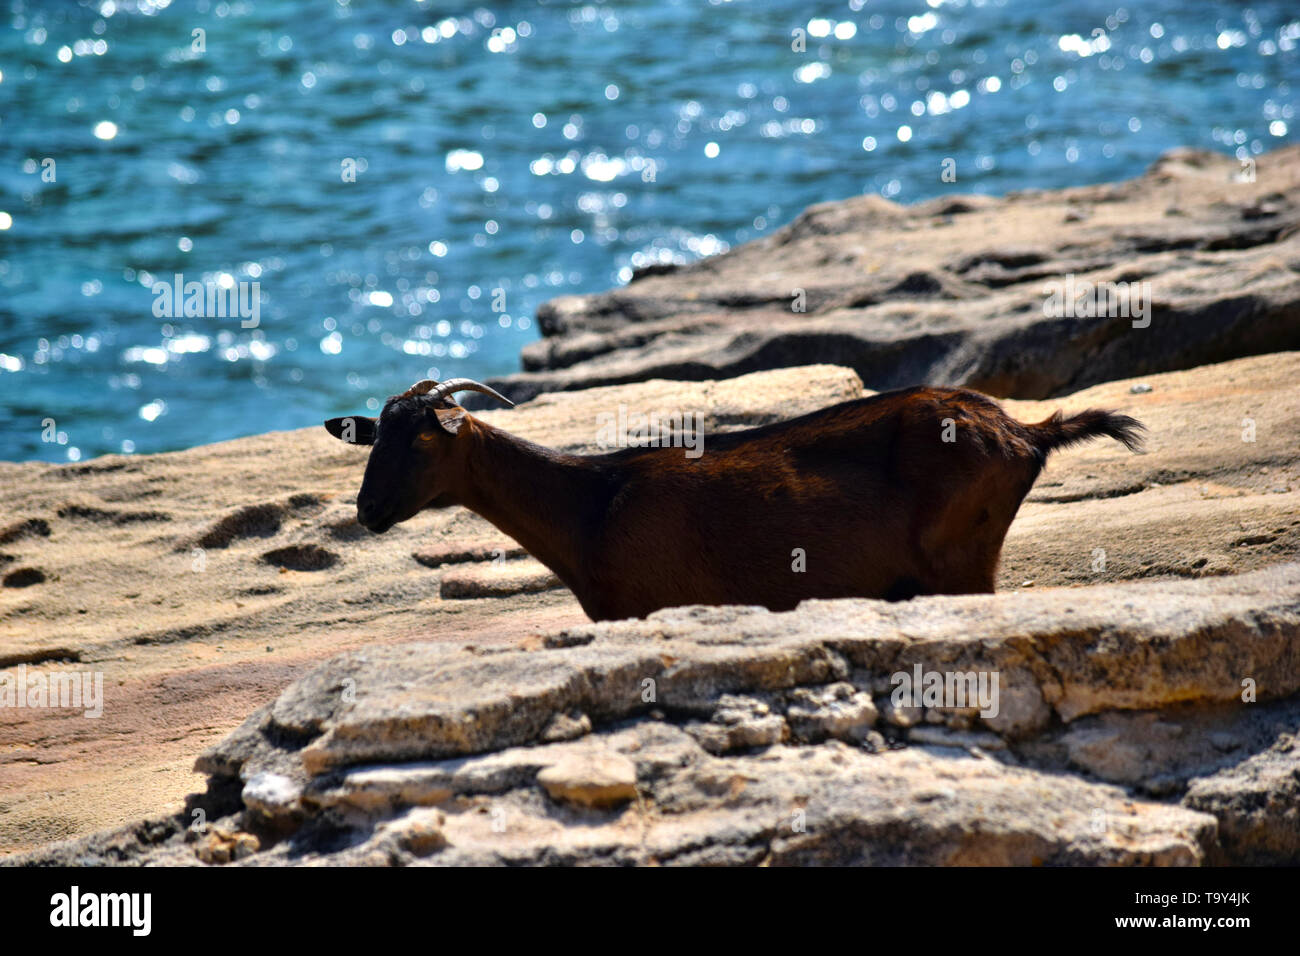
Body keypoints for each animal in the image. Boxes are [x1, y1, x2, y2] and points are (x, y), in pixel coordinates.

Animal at [324, 377, 1143, 622]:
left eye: (422, 442)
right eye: (374, 439)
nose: (367, 512)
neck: (591, 504)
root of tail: (1026, 430)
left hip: (960, 558)